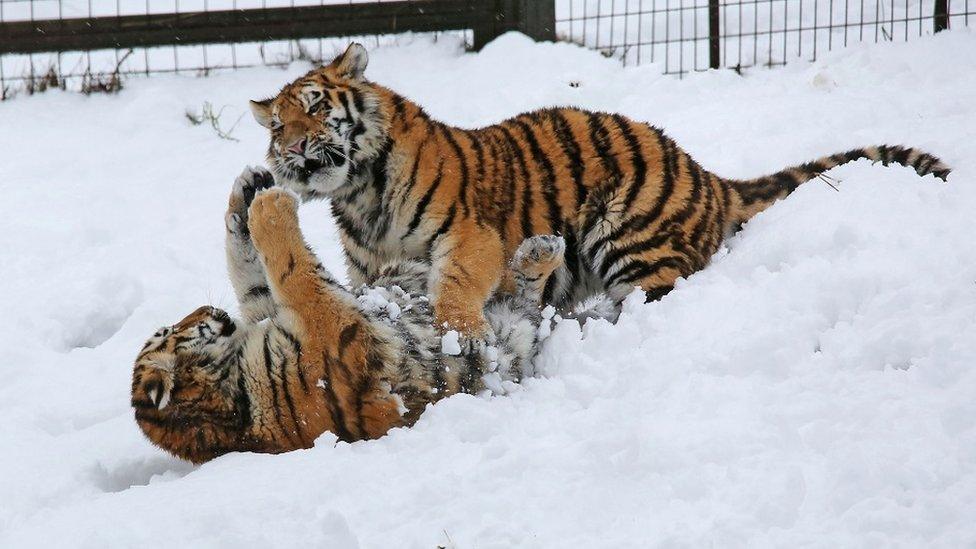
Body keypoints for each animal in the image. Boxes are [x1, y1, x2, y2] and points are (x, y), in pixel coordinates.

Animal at [131, 166, 565, 463]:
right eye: (168, 330)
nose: (208, 309)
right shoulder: (328, 322)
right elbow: (292, 269)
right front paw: (272, 202)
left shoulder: (266, 311)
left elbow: (254, 274)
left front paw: (250, 192)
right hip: (501, 326)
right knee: (526, 301)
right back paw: (543, 253)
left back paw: (539, 251)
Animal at [248, 43, 951, 336]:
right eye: (278, 124)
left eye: (316, 106)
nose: (291, 149)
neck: (358, 195)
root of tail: (706, 173)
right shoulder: (369, 269)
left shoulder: (471, 236)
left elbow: (454, 286)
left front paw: (457, 334)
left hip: (627, 234)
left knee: (650, 299)